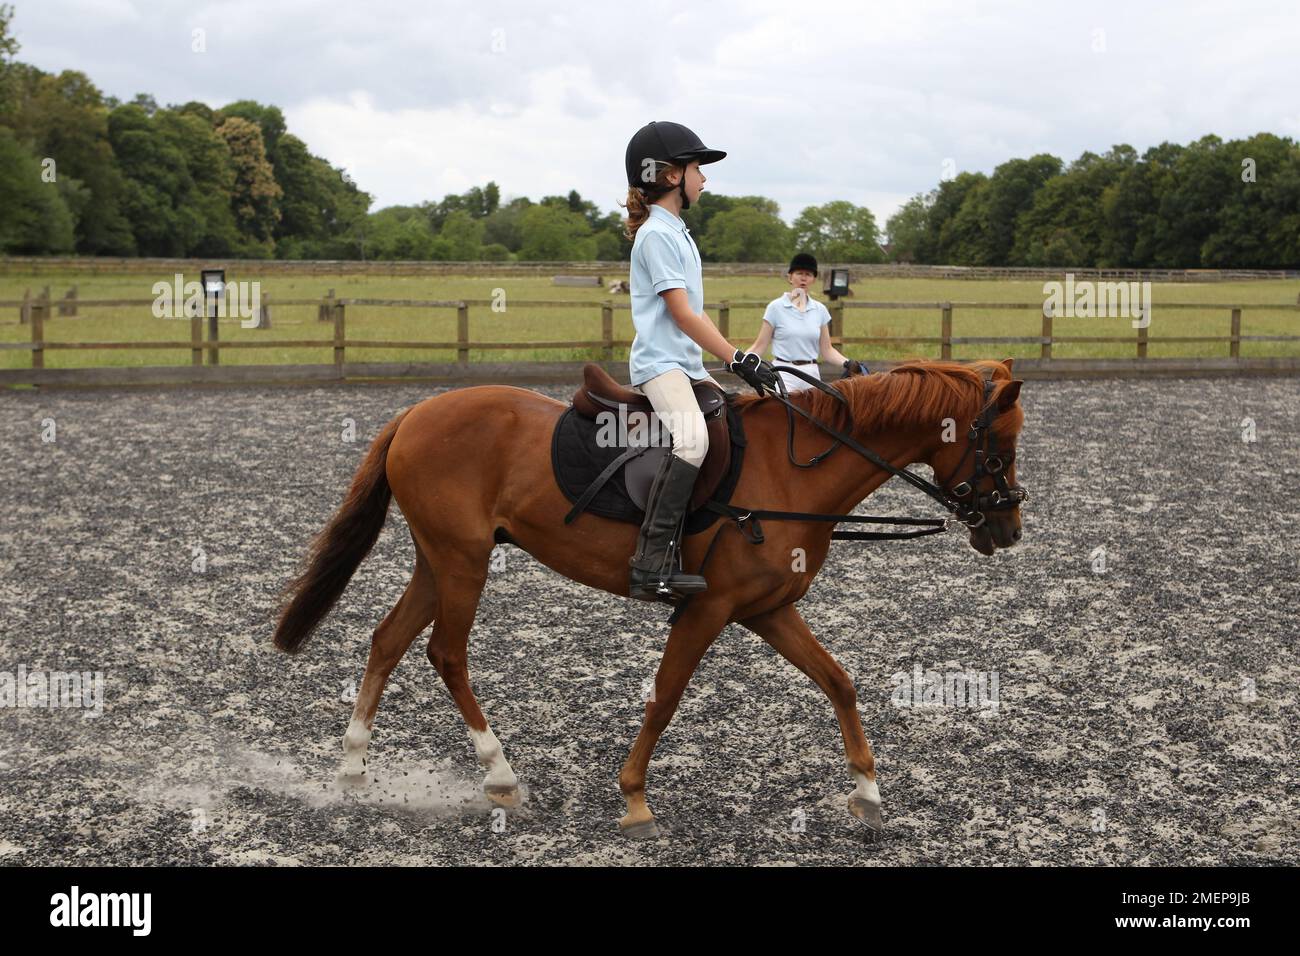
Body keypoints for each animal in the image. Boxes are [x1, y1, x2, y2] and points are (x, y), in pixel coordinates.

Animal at [271, 357, 1026, 840]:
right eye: (1002, 447)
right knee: (445, 652)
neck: (793, 474)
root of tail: (414, 413)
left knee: (389, 640)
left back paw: (352, 768)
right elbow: (665, 696)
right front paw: (635, 800)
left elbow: (838, 681)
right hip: (463, 560)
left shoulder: (767, 609)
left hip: (441, 558)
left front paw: (867, 791)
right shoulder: (709, 608)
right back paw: (500, 775)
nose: (1009, 529)